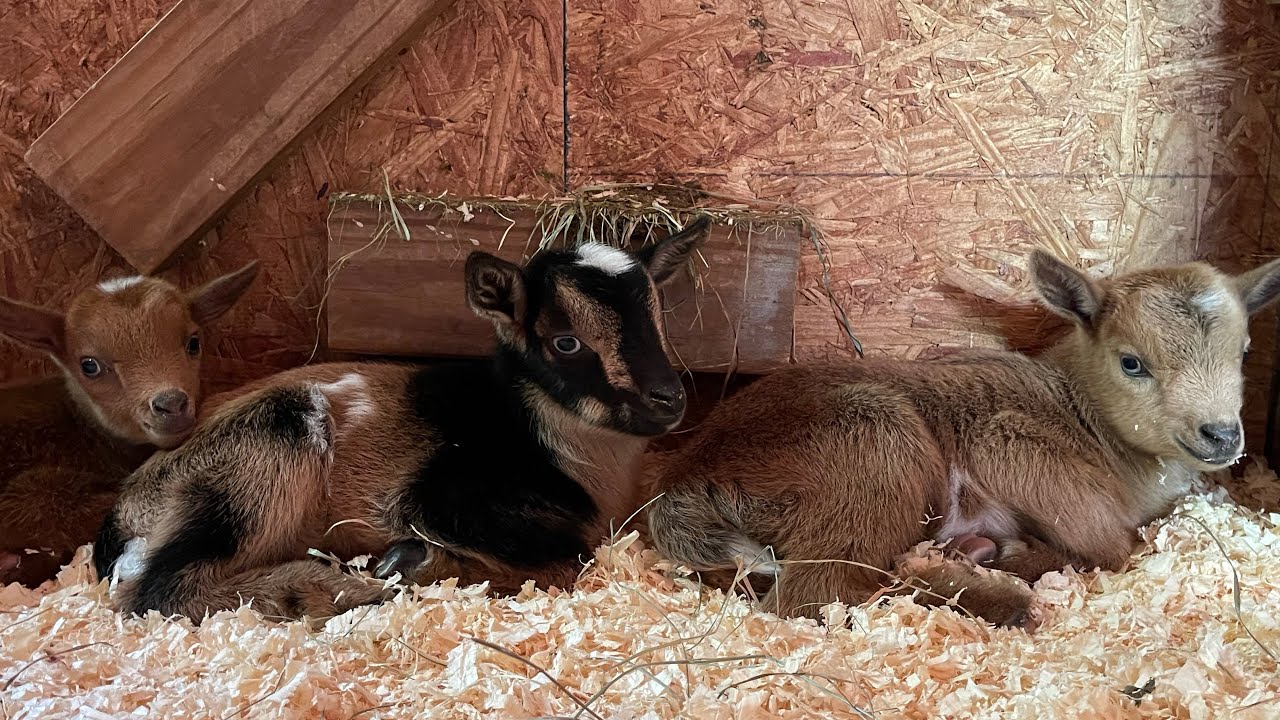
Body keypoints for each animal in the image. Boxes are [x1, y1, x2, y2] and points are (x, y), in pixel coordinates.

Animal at [93, 220, 710, 621]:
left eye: (660, 320)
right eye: (566, 342)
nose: (667, 401)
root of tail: (130, 503)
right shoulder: (442, 500)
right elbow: (565, 562)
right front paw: (417, 562)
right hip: (259, 454)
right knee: (158, 591)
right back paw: (338, 589)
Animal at [648, 250, 1280, 629]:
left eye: (1246, 351)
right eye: (1132, 362)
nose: (1221, 435)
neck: (1084, 416)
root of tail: (684, 478)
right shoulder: (1015, 444)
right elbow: (1115, 549)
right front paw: (1020, 557)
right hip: (877, 443)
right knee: (816, 594)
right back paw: (991, 591)